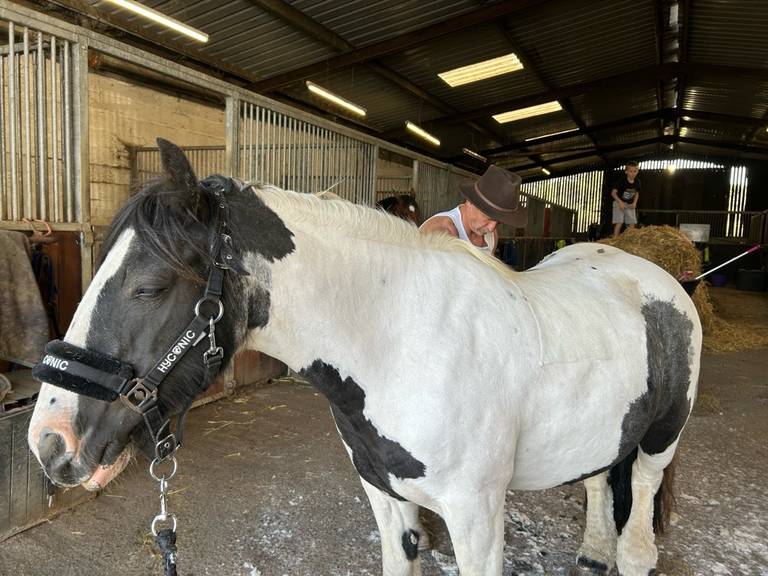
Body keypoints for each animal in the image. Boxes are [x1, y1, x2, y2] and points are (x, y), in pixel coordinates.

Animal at [28, 139, 701, 576]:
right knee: (598, 481)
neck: (405, 343)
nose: (49, 442)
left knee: (641, 519)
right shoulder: (384, 494)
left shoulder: (478, 516)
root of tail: (657, 277)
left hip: (661, 440)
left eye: (148, 287)